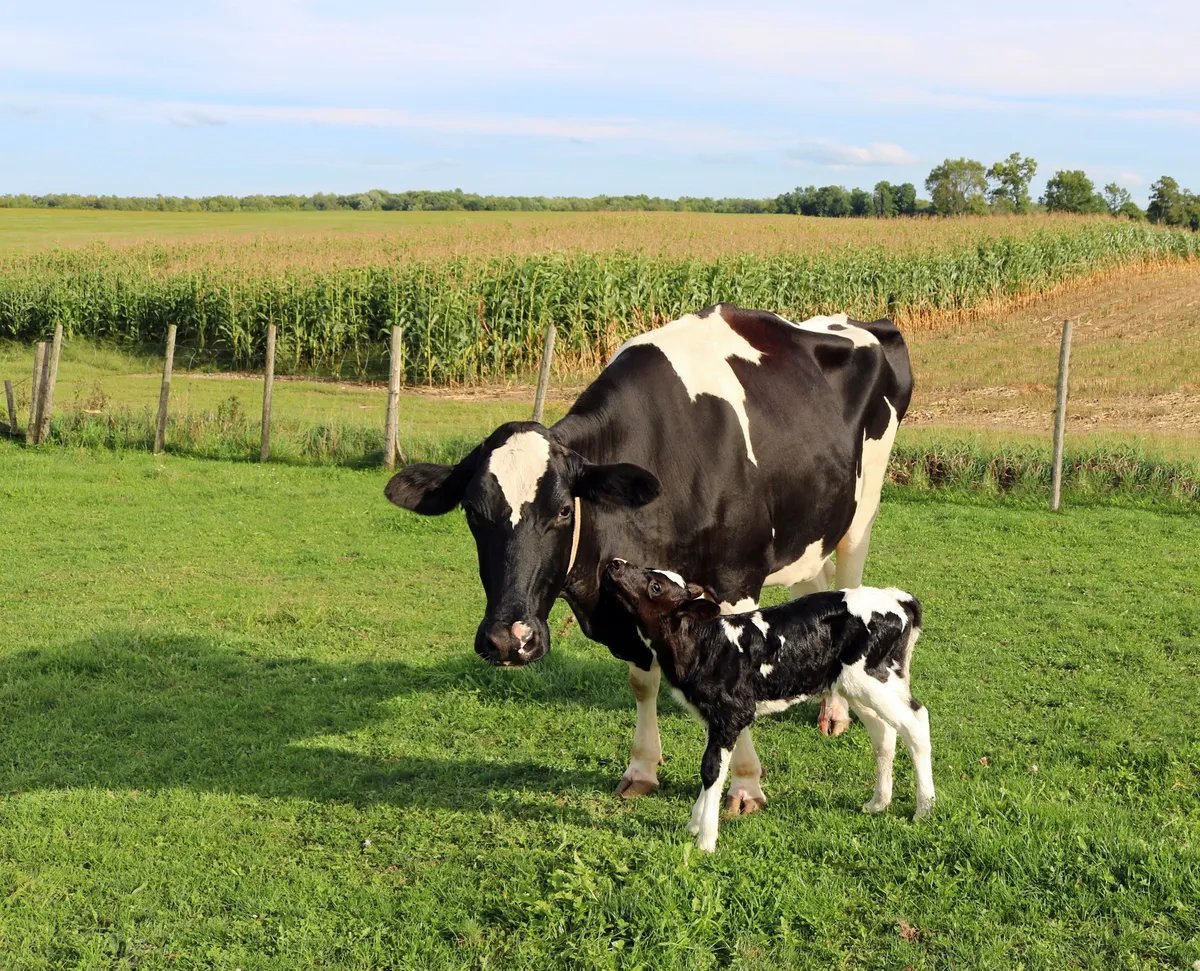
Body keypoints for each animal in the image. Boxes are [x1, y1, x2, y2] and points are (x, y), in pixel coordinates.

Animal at [384, 304, 912, 814]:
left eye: (562, 510)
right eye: (473, 512)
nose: (508, 640)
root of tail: (863, 322)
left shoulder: (737, 580)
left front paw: (745, 785)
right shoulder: (629, 591)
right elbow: (642, 682)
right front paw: (640, 769)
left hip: (861, 509)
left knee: (848, 582)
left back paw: (836, 712)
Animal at [602, 558, 933, 852]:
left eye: (656, 586)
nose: (616, 563)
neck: (704, 643)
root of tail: (896, 598)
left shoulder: (731, 714)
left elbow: (711, 769)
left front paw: (705, 840)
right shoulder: (714, 718)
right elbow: (713, 766)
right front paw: (695, 824)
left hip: (872, 677)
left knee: (916, 721)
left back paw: (924, 809)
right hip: (856, 683)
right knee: (885, 732)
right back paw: (878, 802)